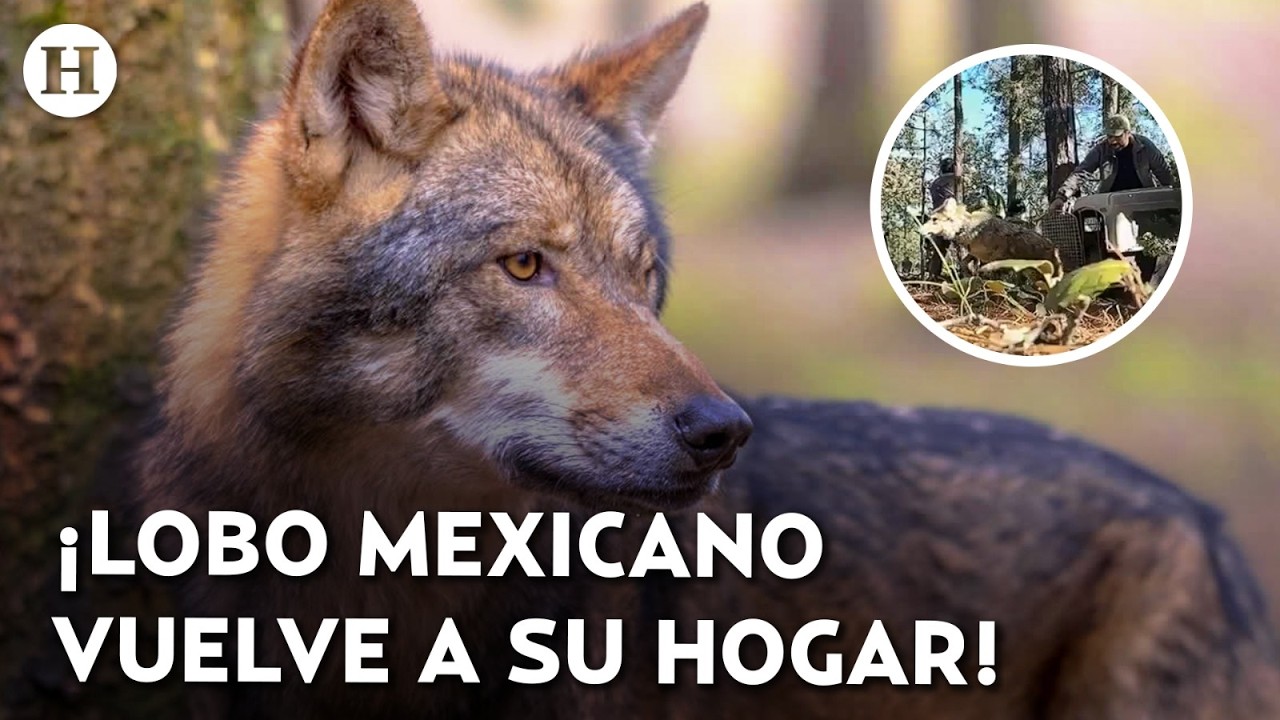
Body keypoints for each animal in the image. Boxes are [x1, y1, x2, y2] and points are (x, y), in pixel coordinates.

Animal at [921, 197, 1062, 273]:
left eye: (934, 219)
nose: (919, 230)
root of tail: (1054, 247)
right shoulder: (976, 254)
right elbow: (963, 263)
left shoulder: (994, 258)